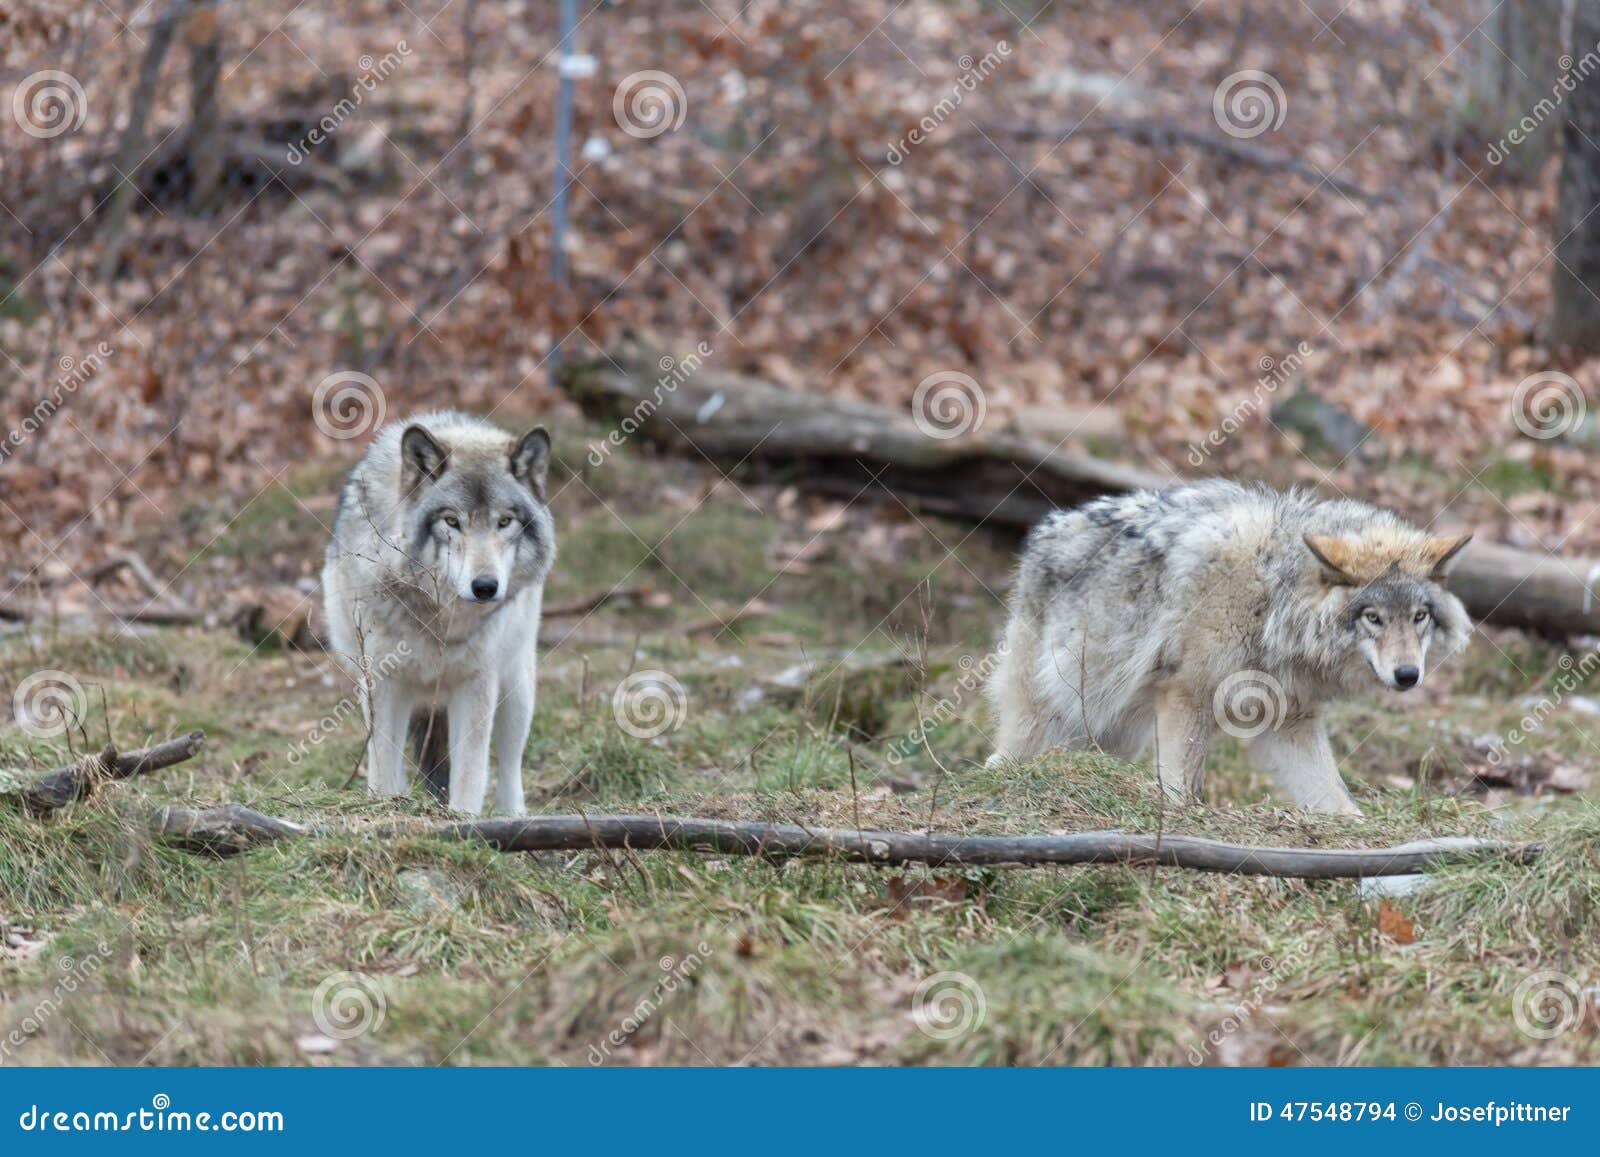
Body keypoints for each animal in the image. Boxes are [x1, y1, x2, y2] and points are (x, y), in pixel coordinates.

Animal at [321, 410, 556, 815]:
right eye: (451, 521)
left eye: (504, 522)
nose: (485, 586)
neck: (440, 617)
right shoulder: (383, 685)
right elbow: (383, 769)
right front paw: (385, 806)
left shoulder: (476, 684)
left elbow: (471, 771)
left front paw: (463, 819)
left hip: (517, 688)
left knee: (511, 766)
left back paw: (511, 816)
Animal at [987, 480, 1473, 814]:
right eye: (1373, 617)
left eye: (1419, 616)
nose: (1408, 675)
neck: (1271, 598)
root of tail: (1048, 526)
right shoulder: (1187, 695)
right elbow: (1181, 785)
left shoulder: (1290, 722)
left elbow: (1334, 795)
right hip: (1050, 715)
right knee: (1004, 755)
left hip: (1115, 733)